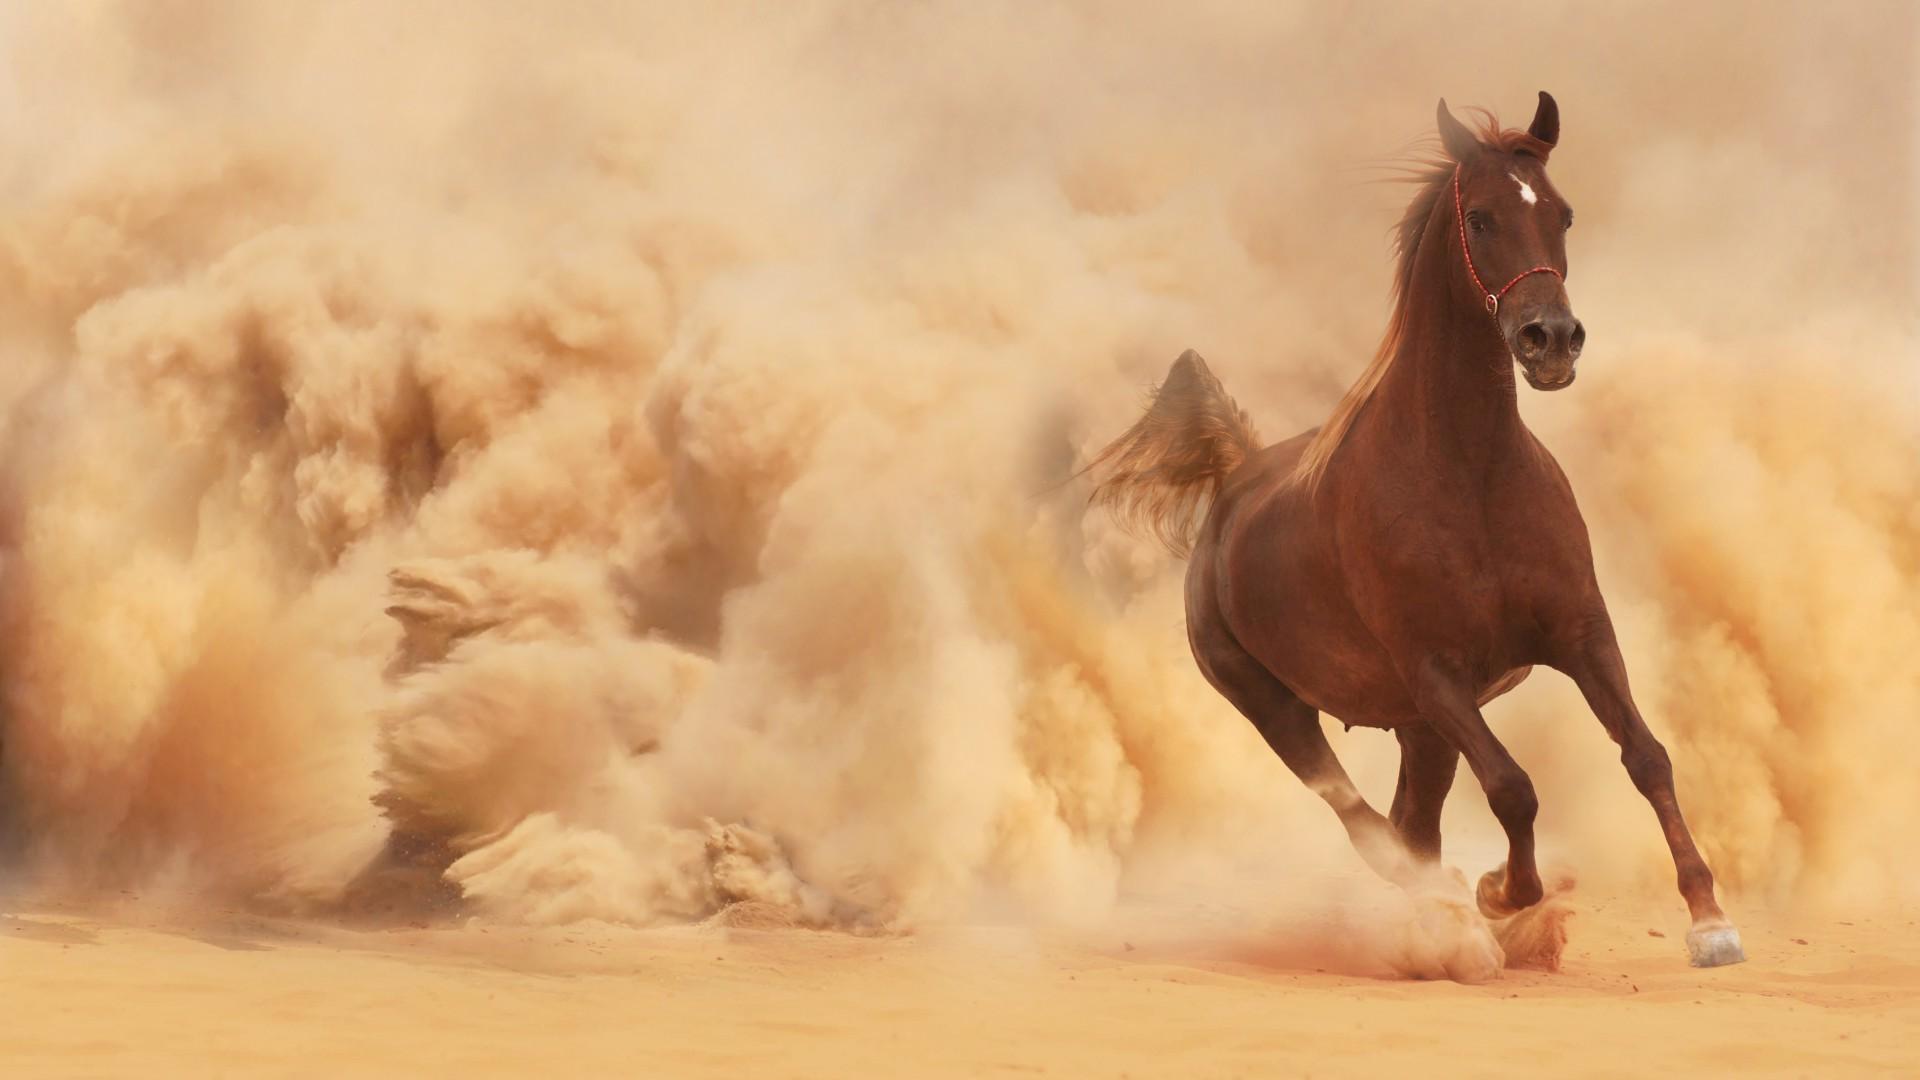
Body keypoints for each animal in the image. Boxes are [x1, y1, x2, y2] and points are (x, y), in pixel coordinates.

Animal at [1086, 92, 1744, 969]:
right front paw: (1499, 893)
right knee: (1370, 828)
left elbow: (1647, 756)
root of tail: (1235, 479)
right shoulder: (1437, 673)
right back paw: (1449, 919)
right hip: (1278, 708)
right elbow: (1513, 787)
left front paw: (1710, 921)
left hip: (1417, 731)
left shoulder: (1580, 634)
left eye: (1562, 213)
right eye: (1482, 216)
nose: (1551, 340)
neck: (1470, 476)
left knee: (1411, 823)